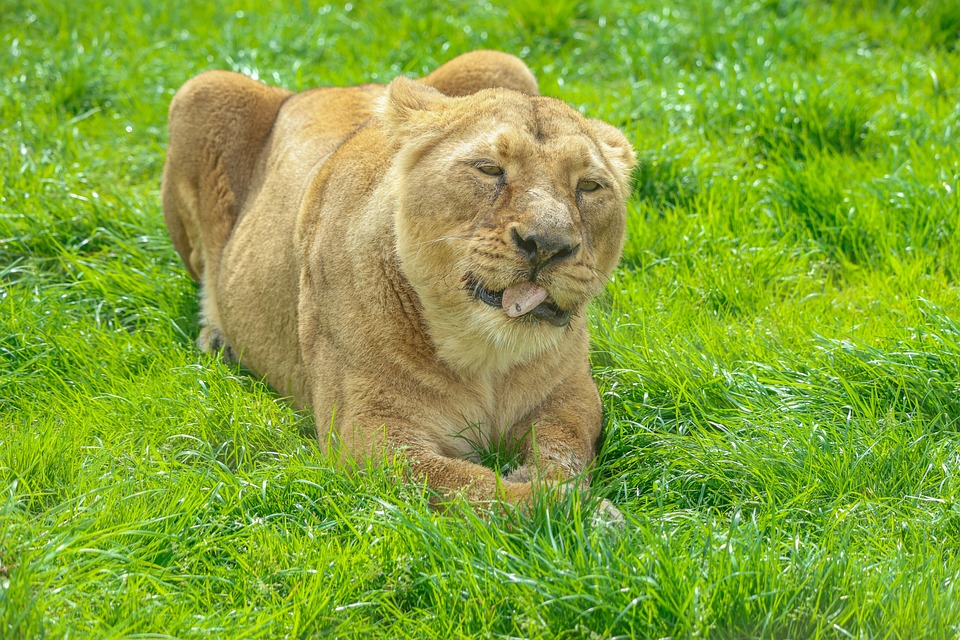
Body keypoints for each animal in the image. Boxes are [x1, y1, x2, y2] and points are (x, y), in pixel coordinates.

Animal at [161, 50, 635, 516]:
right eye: (488, 169)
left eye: (589, 186)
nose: (548, 244)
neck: (484, 356)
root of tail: (335, 86)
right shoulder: (367, 434)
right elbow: (471, 487)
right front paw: (578, 511)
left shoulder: (571, 397)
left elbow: (565, 451)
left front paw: (555, 485)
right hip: (200, 90)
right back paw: (217, 341)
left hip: (502, 61)